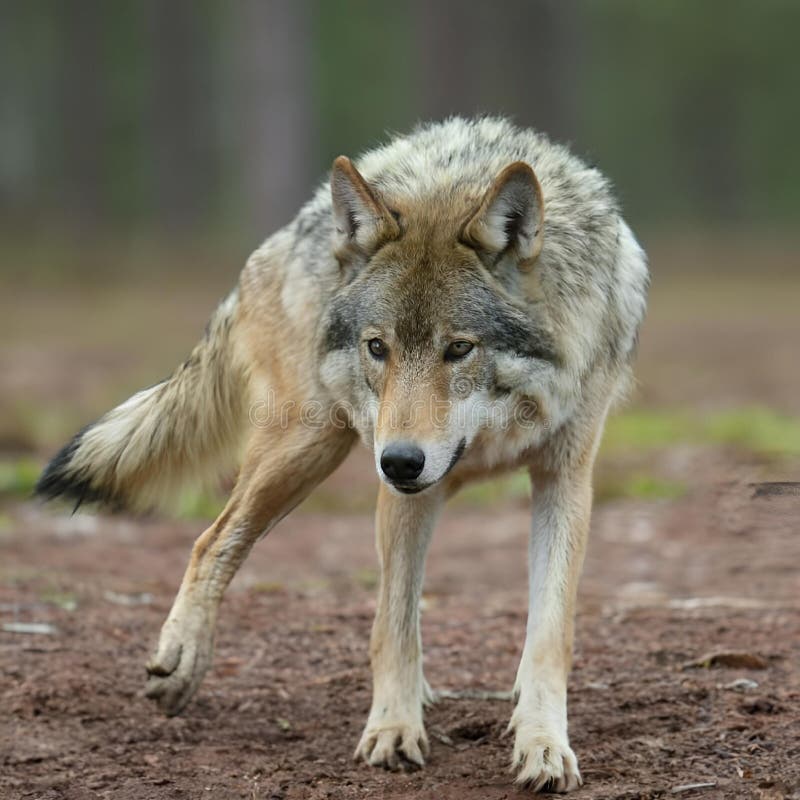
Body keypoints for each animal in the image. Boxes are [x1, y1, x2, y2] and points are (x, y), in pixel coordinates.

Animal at [36, 116, 648, 792]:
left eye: (459, 349)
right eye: (378, 347)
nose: (401, 461)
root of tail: (291, 231)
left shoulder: (564, 479)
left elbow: (549, 630)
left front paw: (542, 742)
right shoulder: (407, 492)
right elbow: (394, 624)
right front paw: (393, 729)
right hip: (309, 447)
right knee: (213, 540)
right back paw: (182, 659)